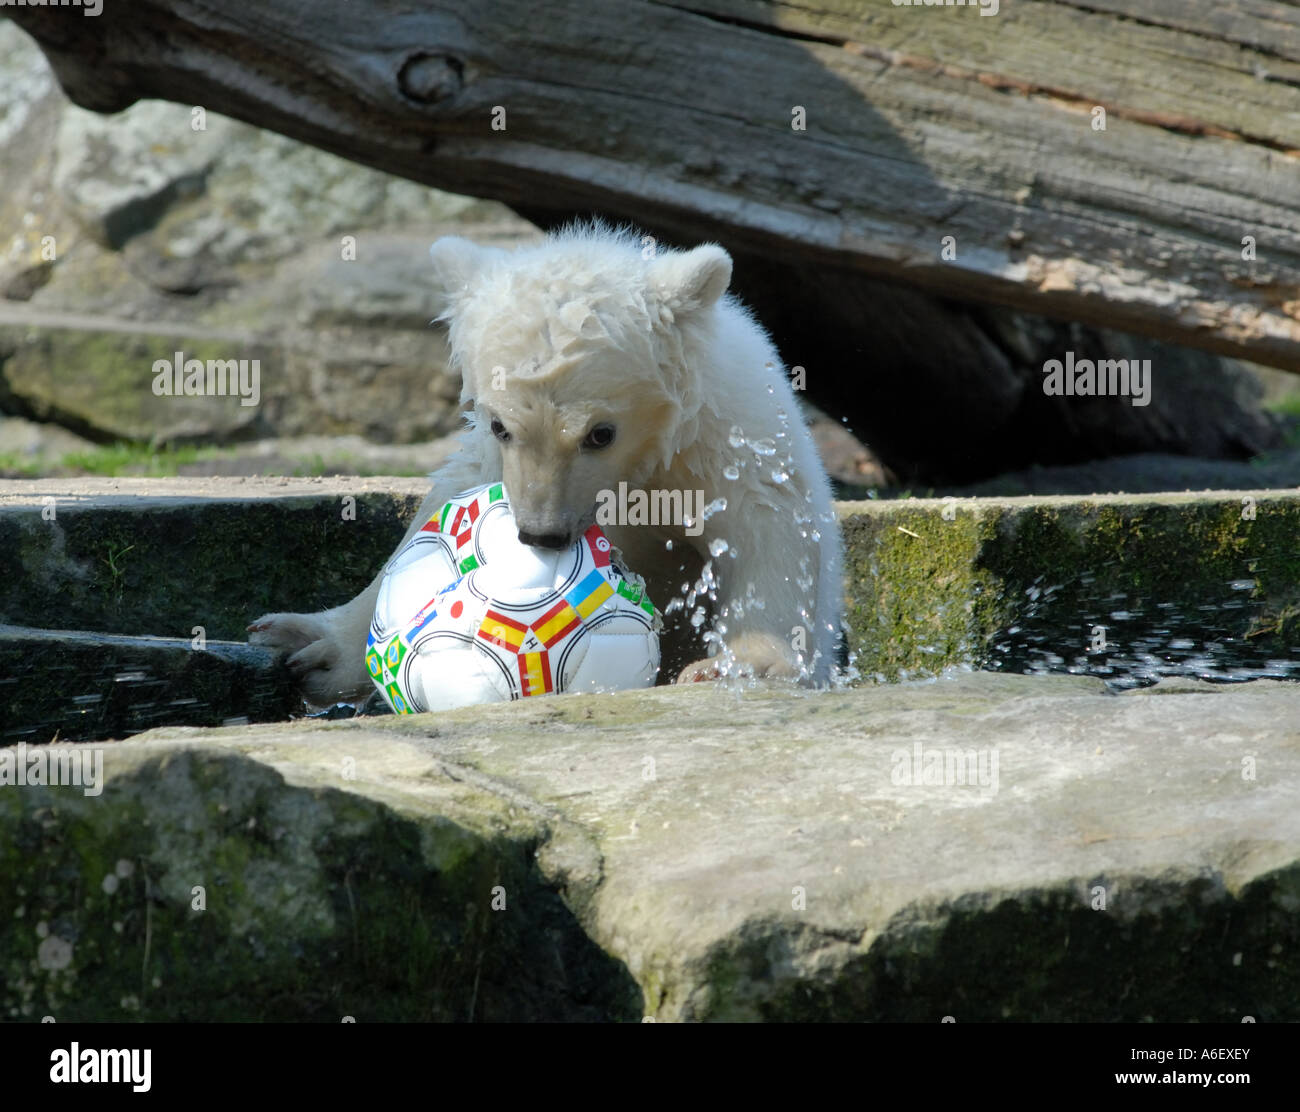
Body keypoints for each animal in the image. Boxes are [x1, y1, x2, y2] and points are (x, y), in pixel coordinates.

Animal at [249, 223, 843, 702]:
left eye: (599, 433)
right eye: (501, 426)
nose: (541, 533)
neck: (641, 463)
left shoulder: (721, 434)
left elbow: (763, 520)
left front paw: (736, 664)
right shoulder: (494, 463)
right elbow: (431, 523)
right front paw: (311, 644)